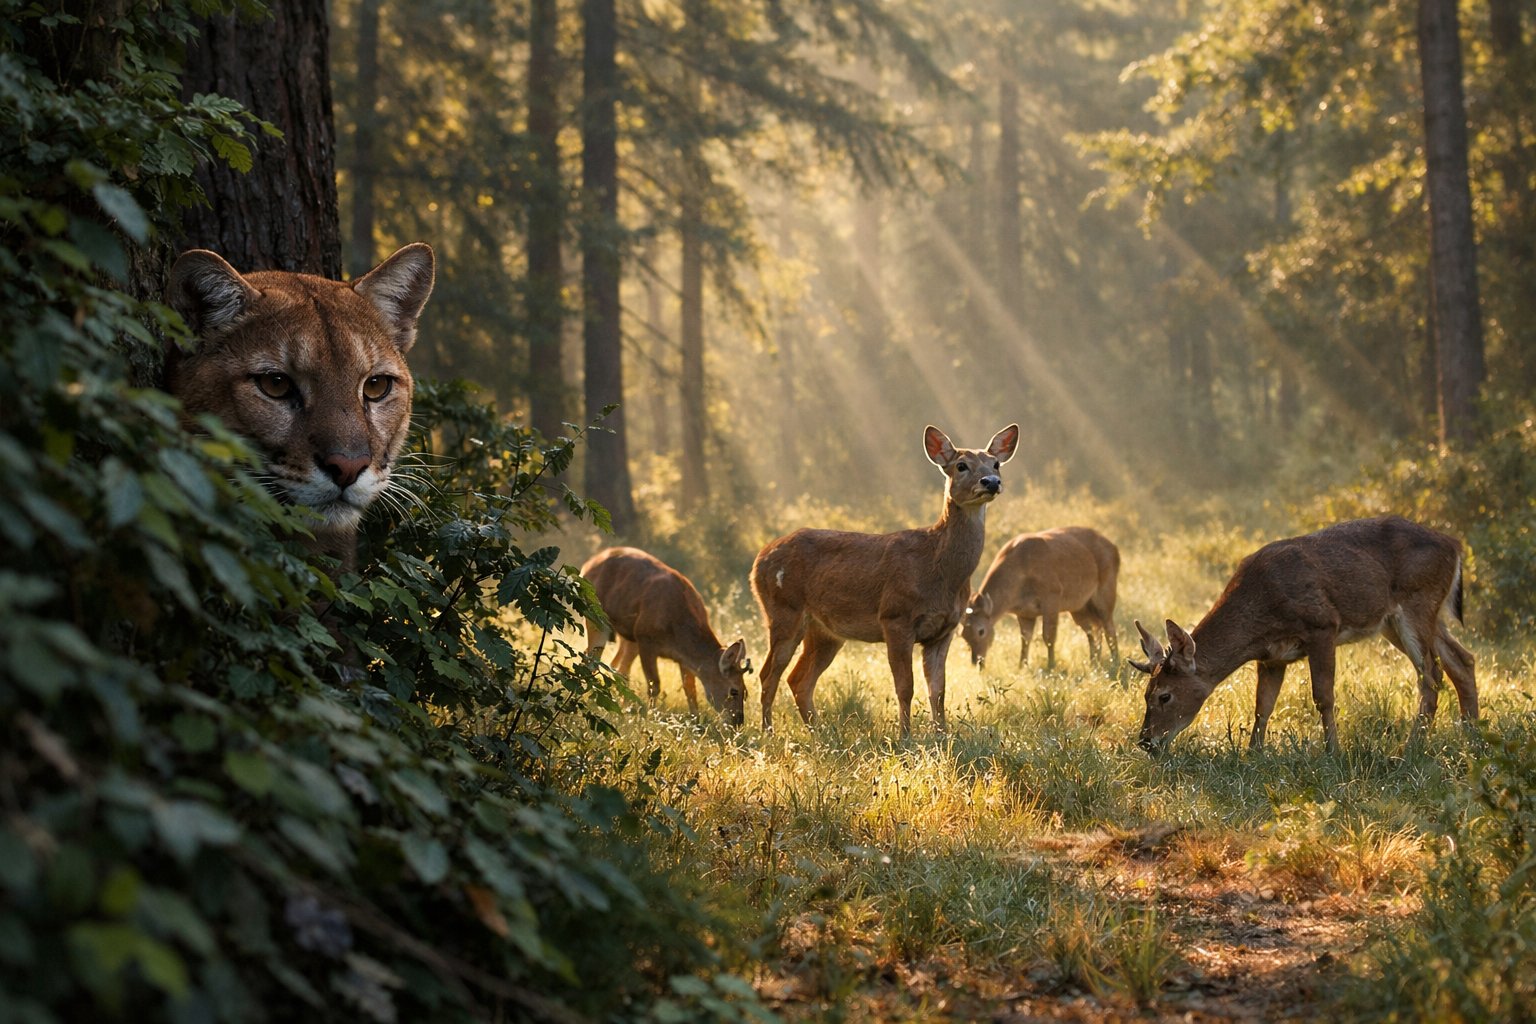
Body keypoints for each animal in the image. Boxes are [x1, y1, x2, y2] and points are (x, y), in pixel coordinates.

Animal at [579, 547, 751, 726]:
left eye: (745, 691)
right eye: (734, 691)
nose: (738, 721)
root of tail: (588, 563)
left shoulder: (682, 659)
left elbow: (690, 689)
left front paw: (695, 720)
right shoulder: (646, 640)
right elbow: (654, 684)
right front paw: (651, 716)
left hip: (628, 635)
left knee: (618, 668)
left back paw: (620, 705)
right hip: (595, 615)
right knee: (591, 659)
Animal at [750, 424, 1019, 735]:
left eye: (996, 463)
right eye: (961, 465)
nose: (991, 482)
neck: (938, 569)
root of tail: (759, 560)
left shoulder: (945, 629)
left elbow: (938, 690)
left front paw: (942, 734)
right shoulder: (895, 616)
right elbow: (905, 687)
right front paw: (905, 737)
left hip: (825, 631)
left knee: (798, 679)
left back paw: (820, 731)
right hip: (784, 609)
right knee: (768, 674)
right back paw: (768, 732)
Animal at [961, 526, 1120, 671]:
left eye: (981, 631)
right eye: (963, 635)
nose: (977, 662)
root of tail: (1115, 549)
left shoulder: (1052, 595)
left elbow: (1048, 636)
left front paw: (1051, 667)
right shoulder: (1025, 612)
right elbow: (1025, 639)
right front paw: (1022, 666)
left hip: (1106, 591)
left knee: (1109, 627)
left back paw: (1115, 662)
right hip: (1079, 606)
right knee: (1093, 629)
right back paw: (1094, 662)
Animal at [1131, 515, 1478, 754]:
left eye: (1164, 695)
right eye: (1145, 694)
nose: (1146, 741)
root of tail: (1455, 545)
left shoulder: (1322, 626)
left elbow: (1323, 696)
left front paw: (1332, 751)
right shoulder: (1271, 657)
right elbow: (1263, 705)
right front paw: (1252, 753)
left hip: (1416, 602)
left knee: (1431, 673)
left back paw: (1412, 747)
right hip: (1402, 620)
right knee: (1462, 660)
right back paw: (1472, 735)